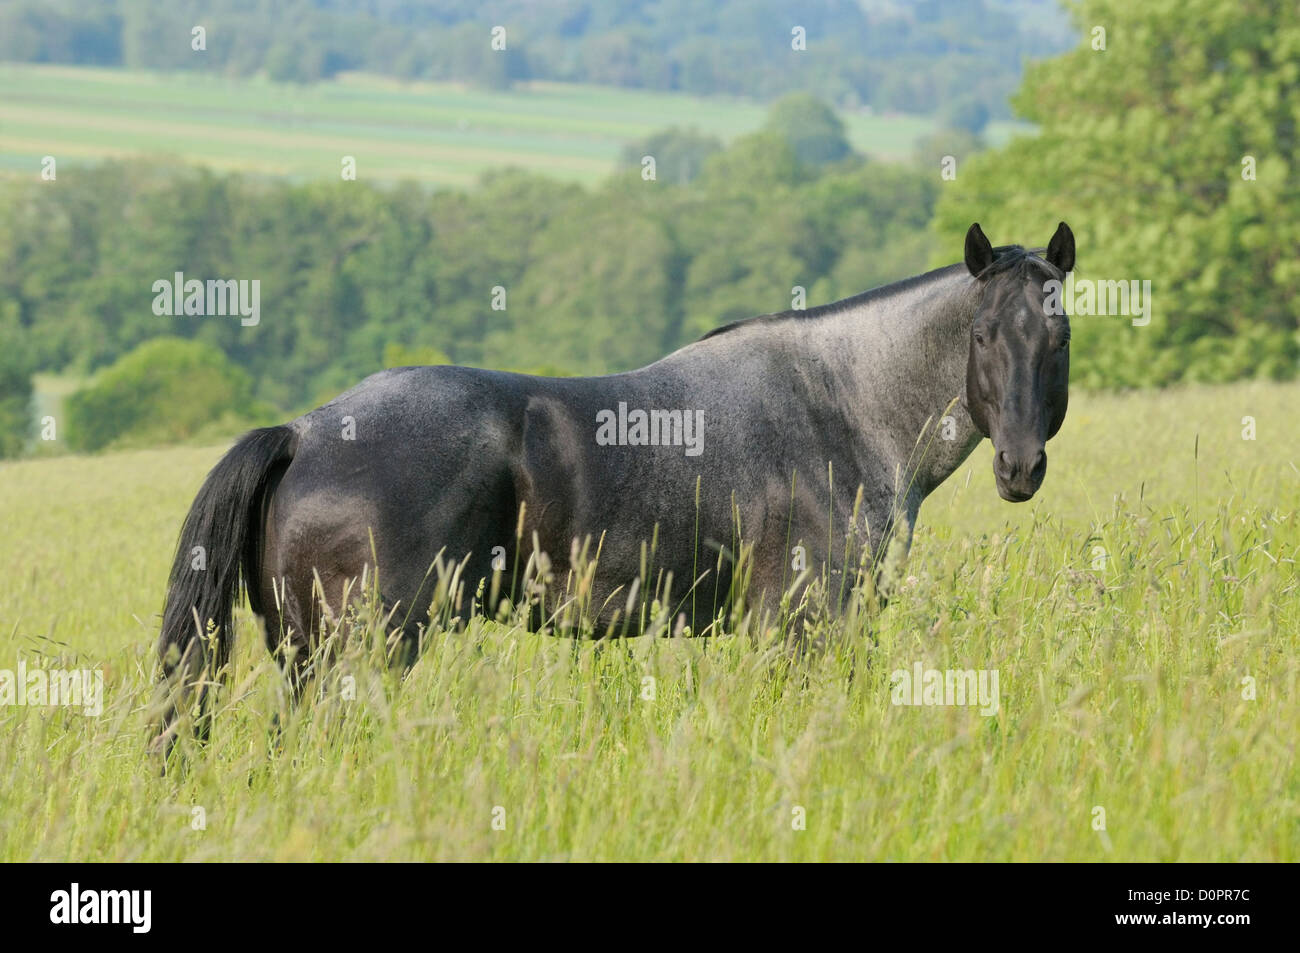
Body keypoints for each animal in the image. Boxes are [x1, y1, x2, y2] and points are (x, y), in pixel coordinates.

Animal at [150, 221, 1075, 751]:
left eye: (1059, 335)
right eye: (983, 333)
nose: (1020, 467)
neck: (841, 399)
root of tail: (305, 432)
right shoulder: (804, 623)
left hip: (308, 655)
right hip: (364, 650)